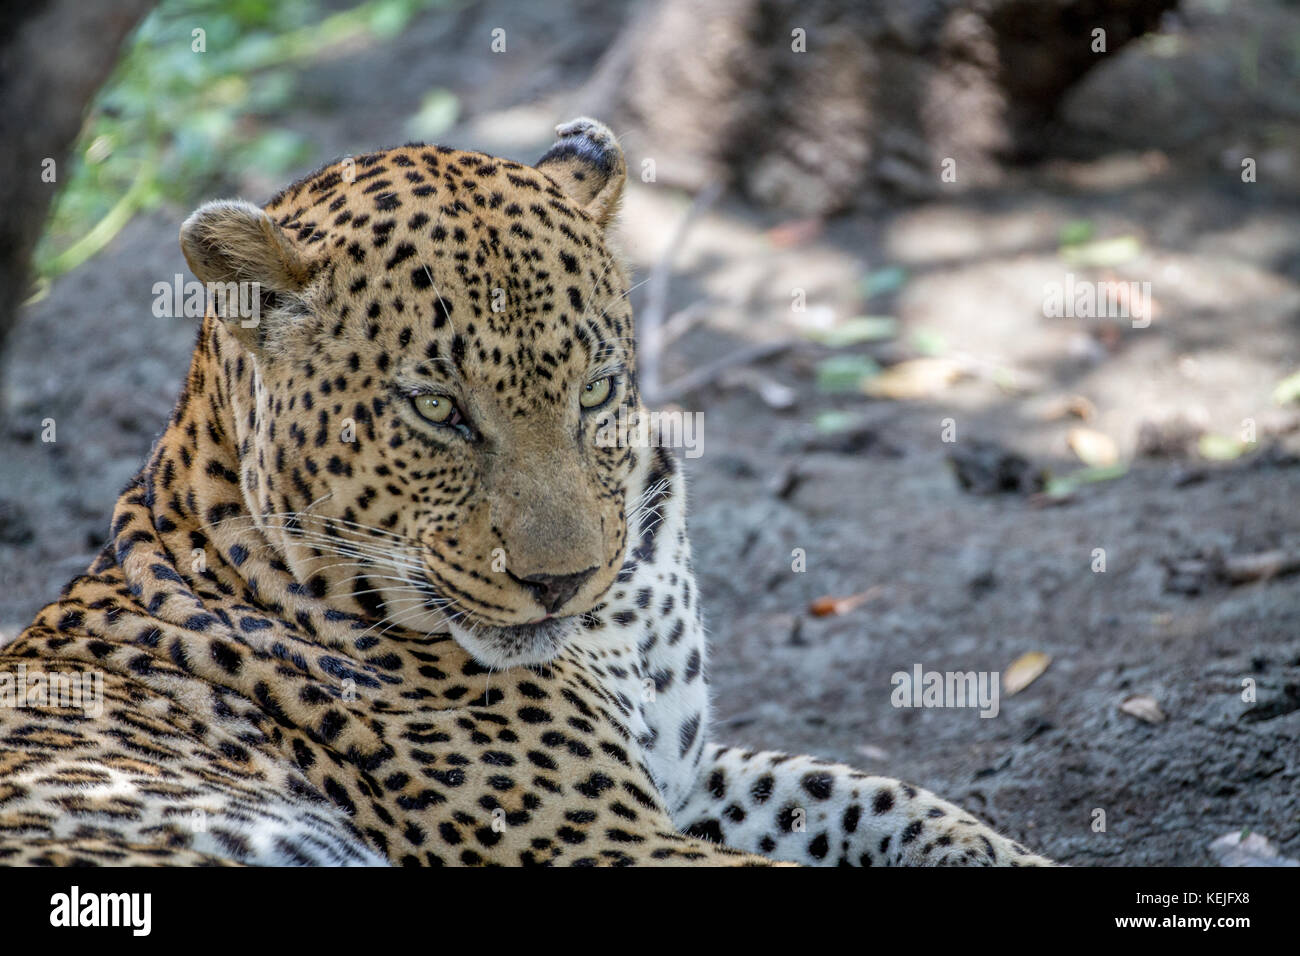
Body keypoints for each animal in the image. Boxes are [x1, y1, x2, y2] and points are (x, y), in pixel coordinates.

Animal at [0, 118, 1051, 866]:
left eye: (594, 389)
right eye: (437, 408)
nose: (562, 582)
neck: (622, 625)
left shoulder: (681, 778)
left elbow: (864, 792)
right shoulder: (598, 842)